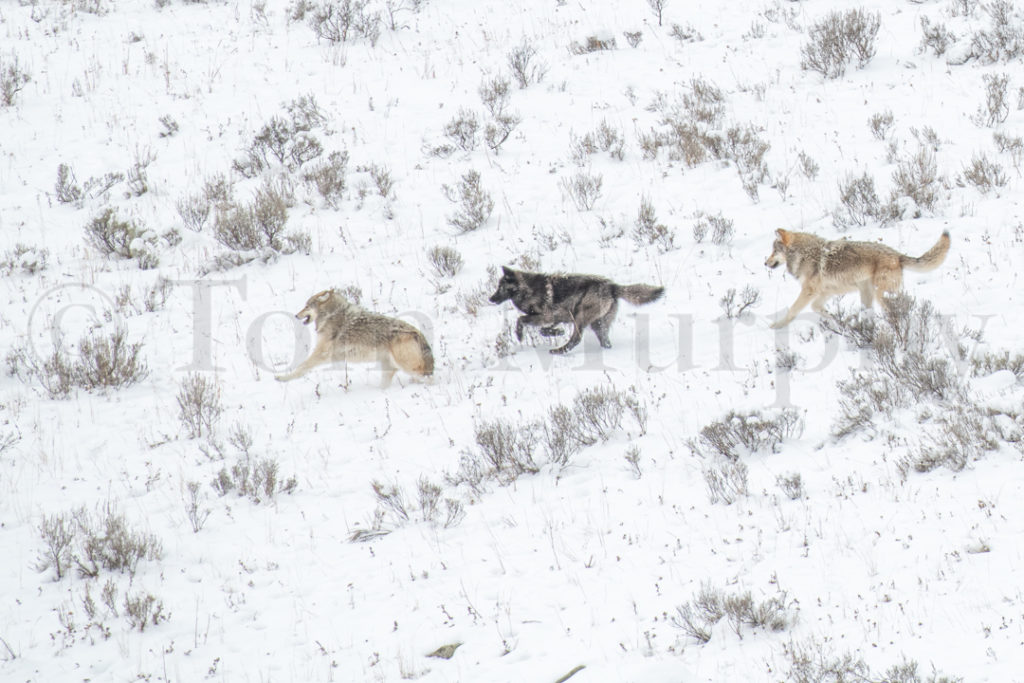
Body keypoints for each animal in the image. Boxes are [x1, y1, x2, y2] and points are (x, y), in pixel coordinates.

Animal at [274, 289, 434, 387]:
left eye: (307, 306)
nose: (296, 315)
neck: (331, 315)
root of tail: (418, 333)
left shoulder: (322, 353)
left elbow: (302, 366)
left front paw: (283, 378)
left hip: (410, 368)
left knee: (429, 379)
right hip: (388, 368)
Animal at [488, 266, 665, 354]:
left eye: (501, 287)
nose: (491, 299)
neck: (527, 290)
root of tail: (613, 286)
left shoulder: (545, 316)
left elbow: (521, 320)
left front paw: (519, 335)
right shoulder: (555, 318)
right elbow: (544, 330)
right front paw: (556, 332)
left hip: (579, 317)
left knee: (576, 339)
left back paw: (559, 351)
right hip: (597, 325)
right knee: (605, 342)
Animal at [764, 228, 951, 329]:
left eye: (774, 251)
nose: (765, 263)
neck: (803, 254)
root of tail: (897, 255)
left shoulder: (809, 291)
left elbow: (793, 310)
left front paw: (778, 325)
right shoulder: (824, 292)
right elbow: (818, 308)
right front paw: (837, 320)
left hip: (879, 294)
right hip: (867, 293)